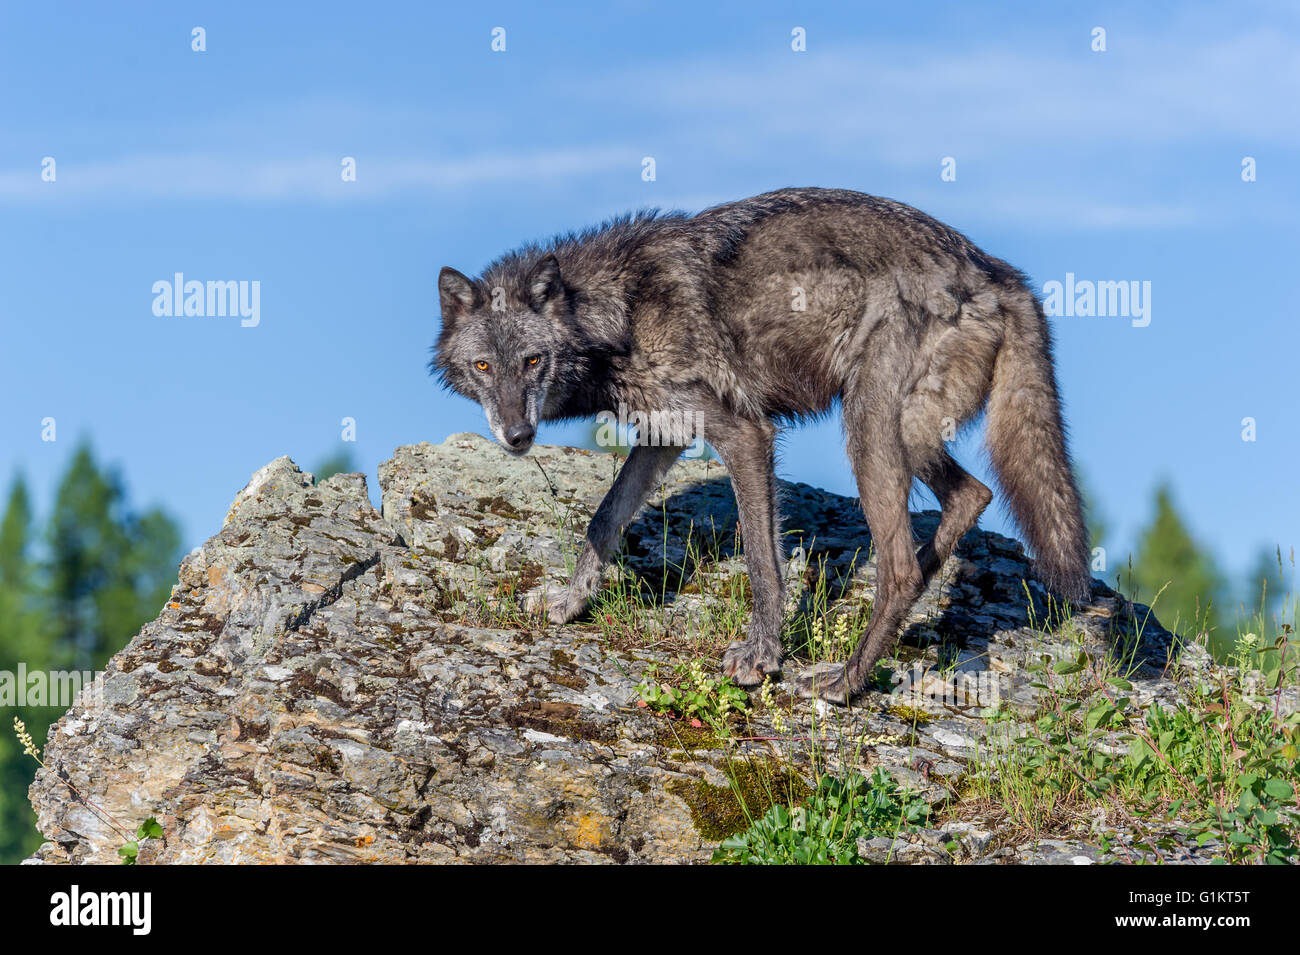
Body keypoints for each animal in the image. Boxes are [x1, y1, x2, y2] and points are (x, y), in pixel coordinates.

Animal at [432, 187, 1090, 705]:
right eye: (485, 365)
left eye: (532, 361)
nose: (517, 435)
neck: (619, 315)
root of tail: (998, 272)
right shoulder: (664, 436)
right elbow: (604, 519)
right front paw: (570, 604)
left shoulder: (745, 434)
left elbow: (761, 559)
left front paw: (761, 656)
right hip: (910, 436)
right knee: (970, 497)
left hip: (870, 429)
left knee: (902, 564)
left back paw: (847, 681)